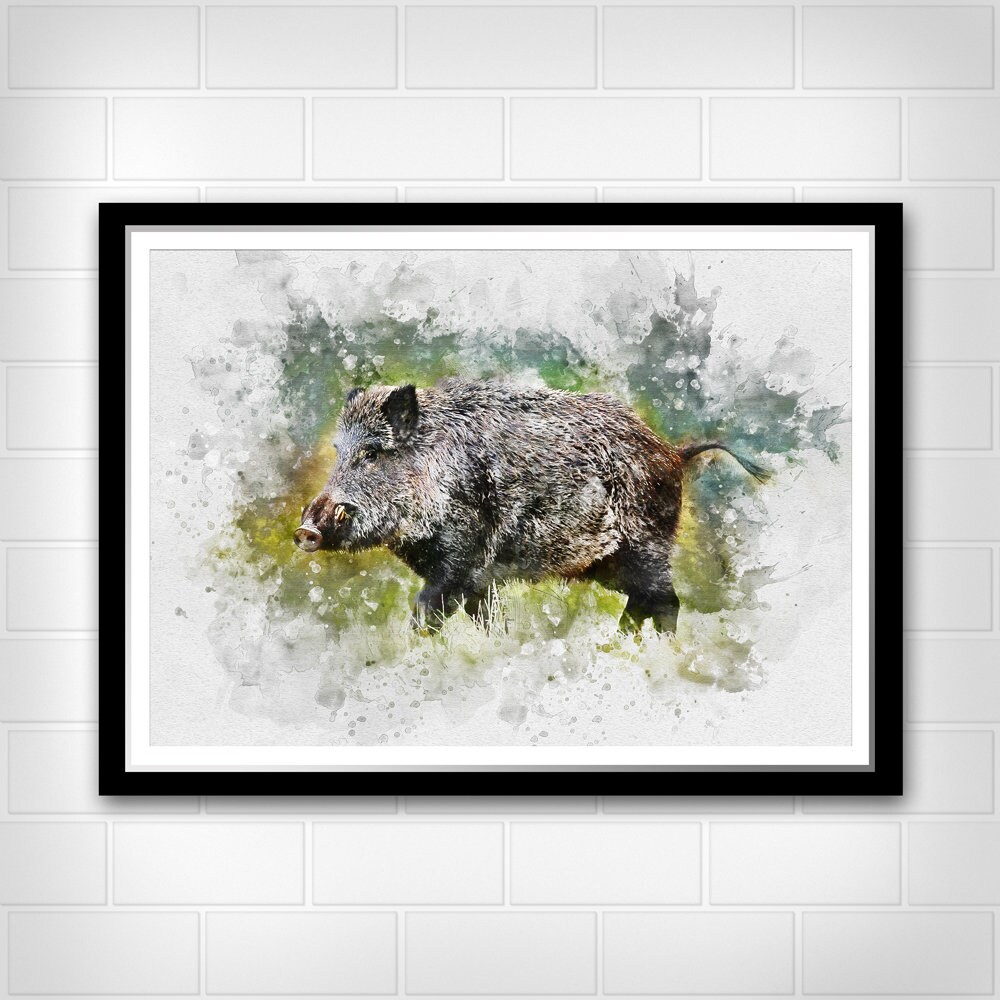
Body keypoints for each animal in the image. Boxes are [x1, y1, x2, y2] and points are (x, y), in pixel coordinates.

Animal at [294, 378, 767, 633]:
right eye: (338, 450)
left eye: (373, 452)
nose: (305, 531)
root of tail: (673, 452)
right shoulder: (477, 581)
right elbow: (487, 623)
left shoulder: (460, 562)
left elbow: (425, 615)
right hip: (611, 564)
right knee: (645, 603)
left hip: (646, 545)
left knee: (666, 602)